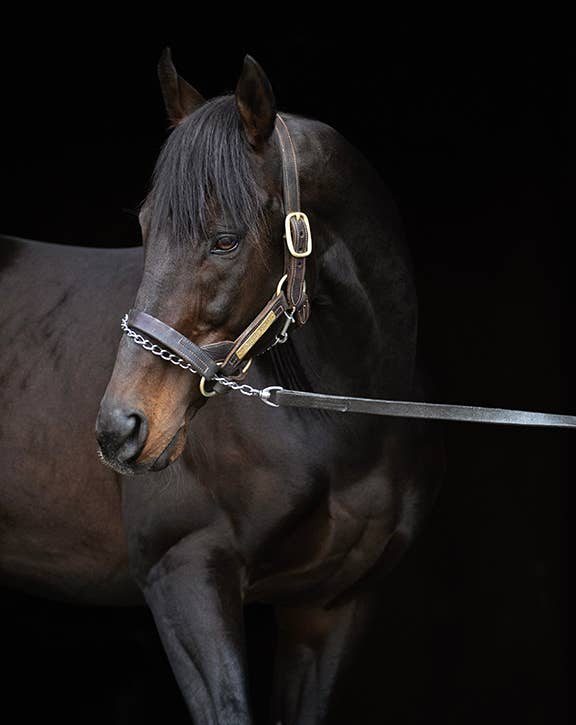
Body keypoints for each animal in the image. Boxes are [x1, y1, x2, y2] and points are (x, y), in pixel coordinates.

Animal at [93, 50, 446, 724]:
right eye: (145, 227)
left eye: (225, 239)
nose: (119, 429)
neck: (345, 423)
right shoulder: (183, 573)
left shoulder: (333, 605)